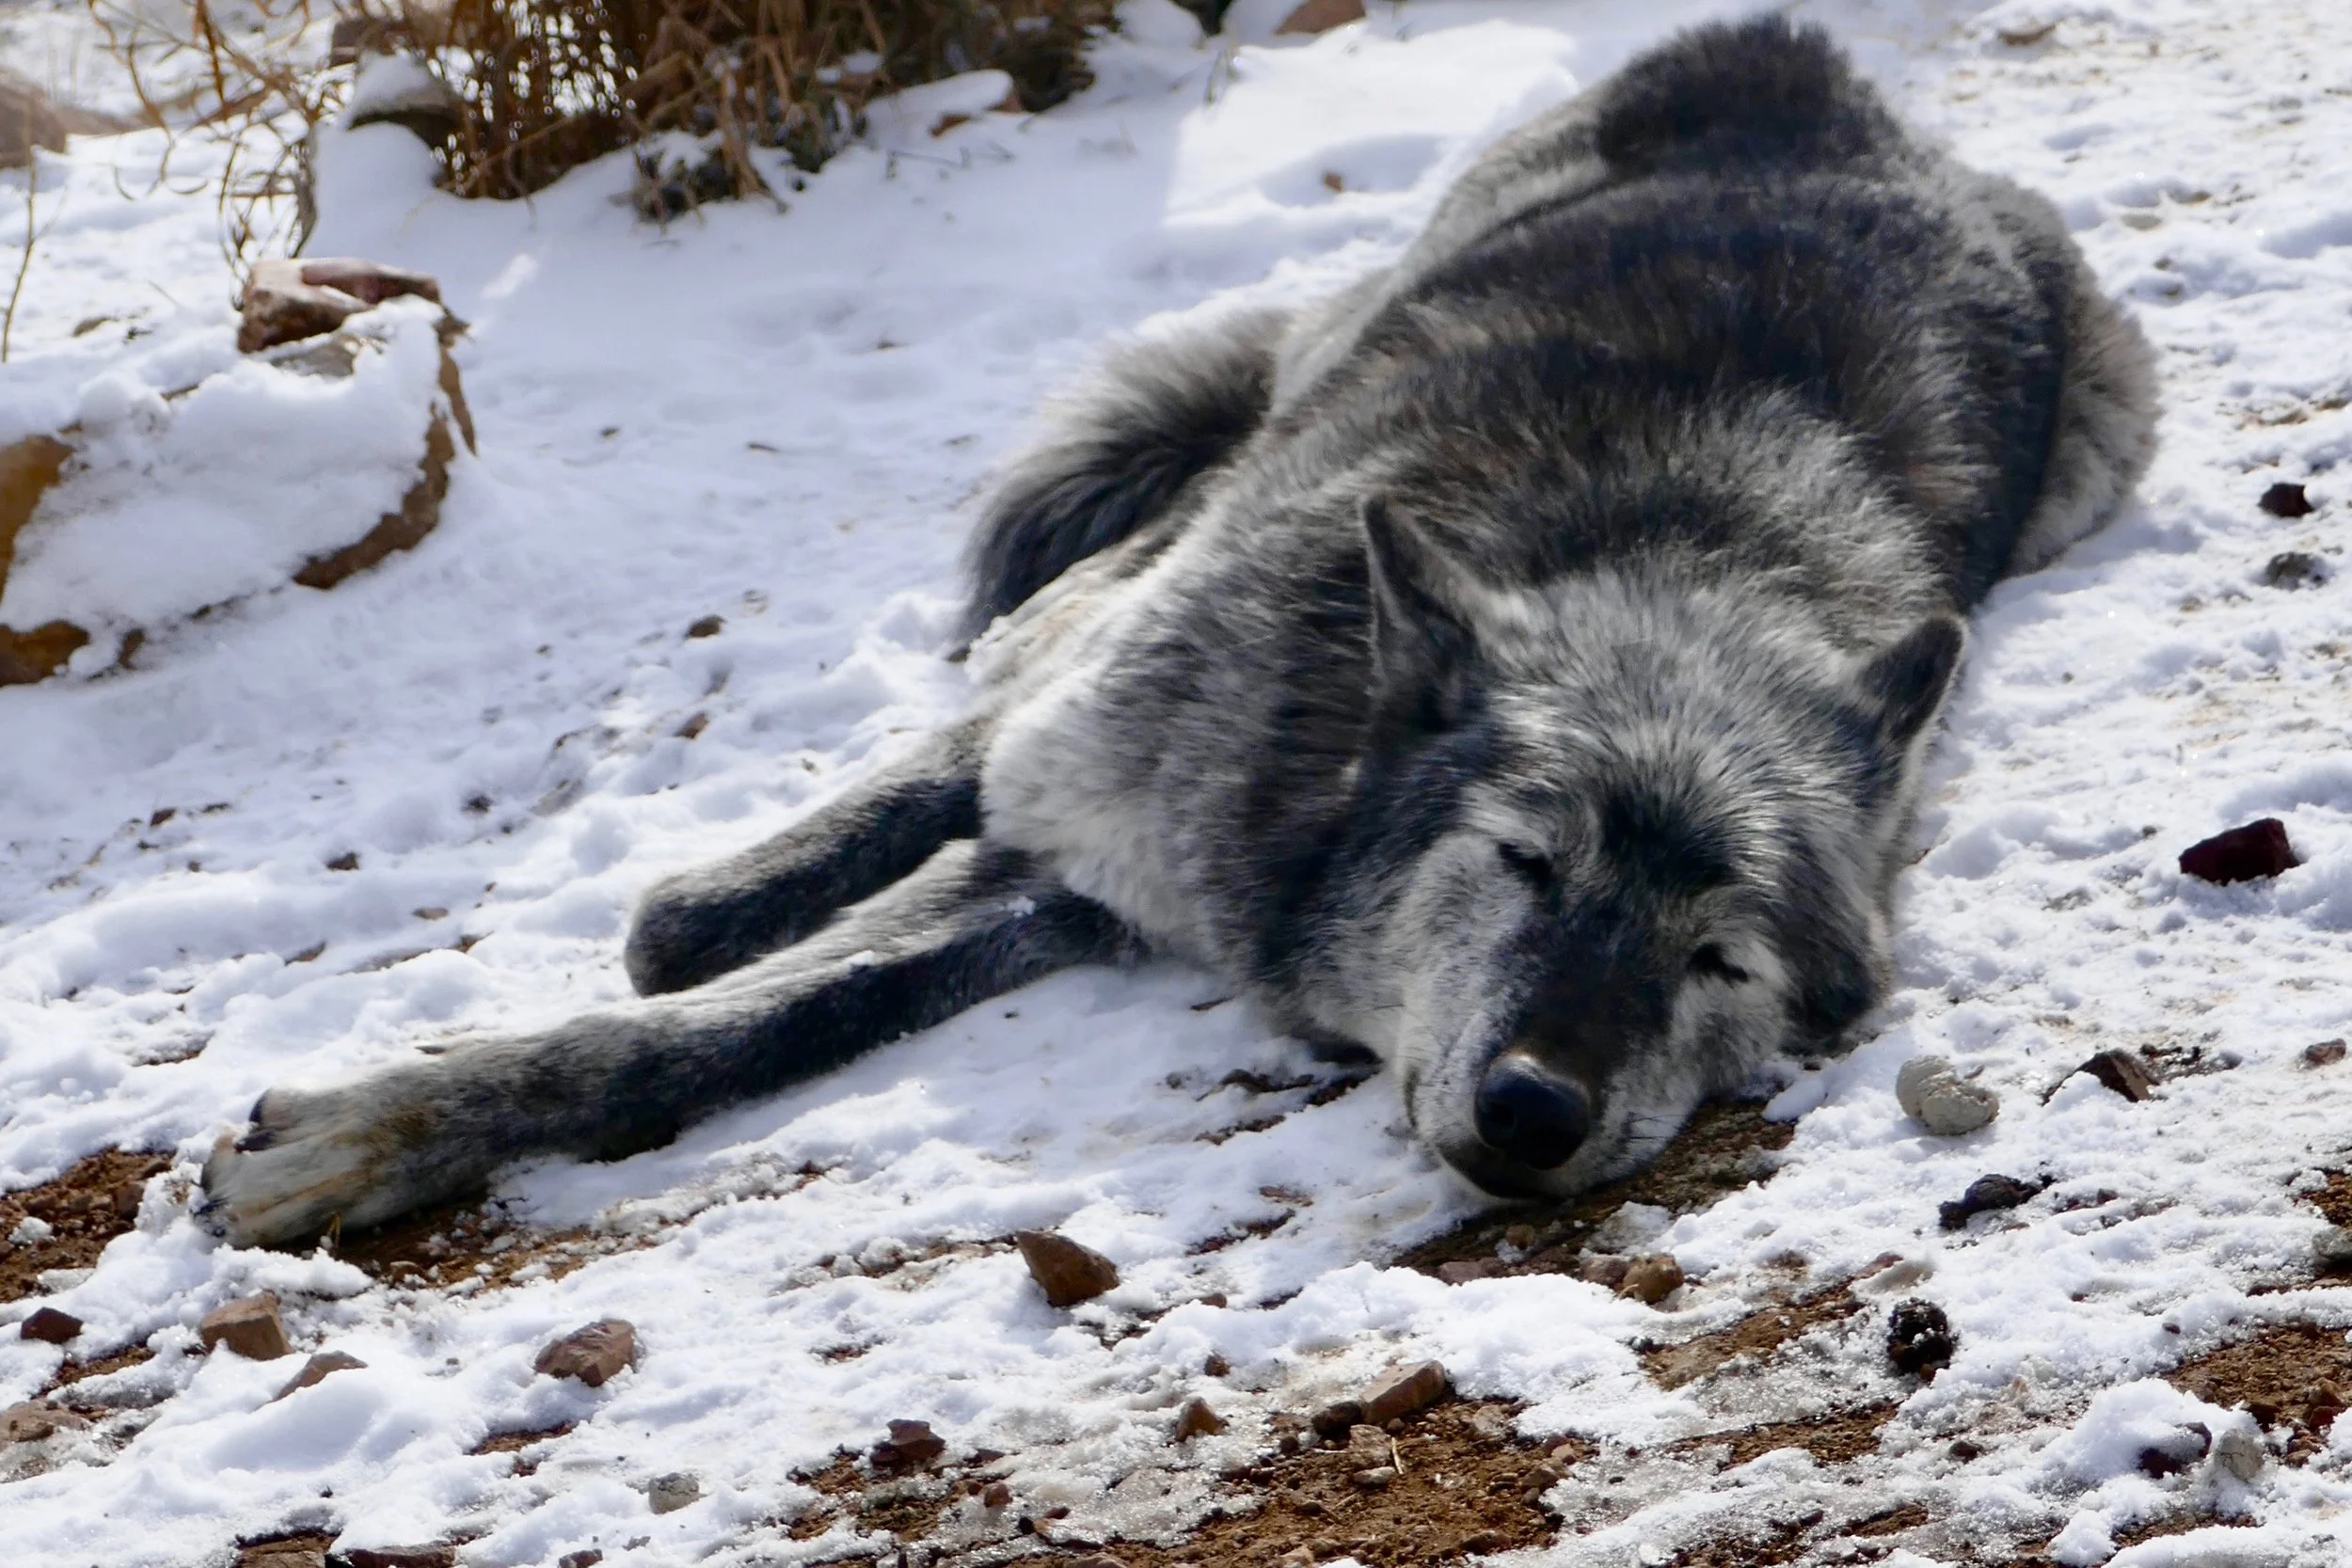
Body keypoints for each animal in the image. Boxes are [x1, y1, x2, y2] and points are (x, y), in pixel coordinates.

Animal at [202, 15, 2156, 1245]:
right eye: (1525, 861)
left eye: (1718, 957)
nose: (1537, 1113)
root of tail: (1837, 82)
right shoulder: (1091, 820)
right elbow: (696, 1031)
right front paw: (373, 1132)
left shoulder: (1075, 888)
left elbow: (772, 1025)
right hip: (1344, 340)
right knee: (1094, 583)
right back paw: (757, 859)